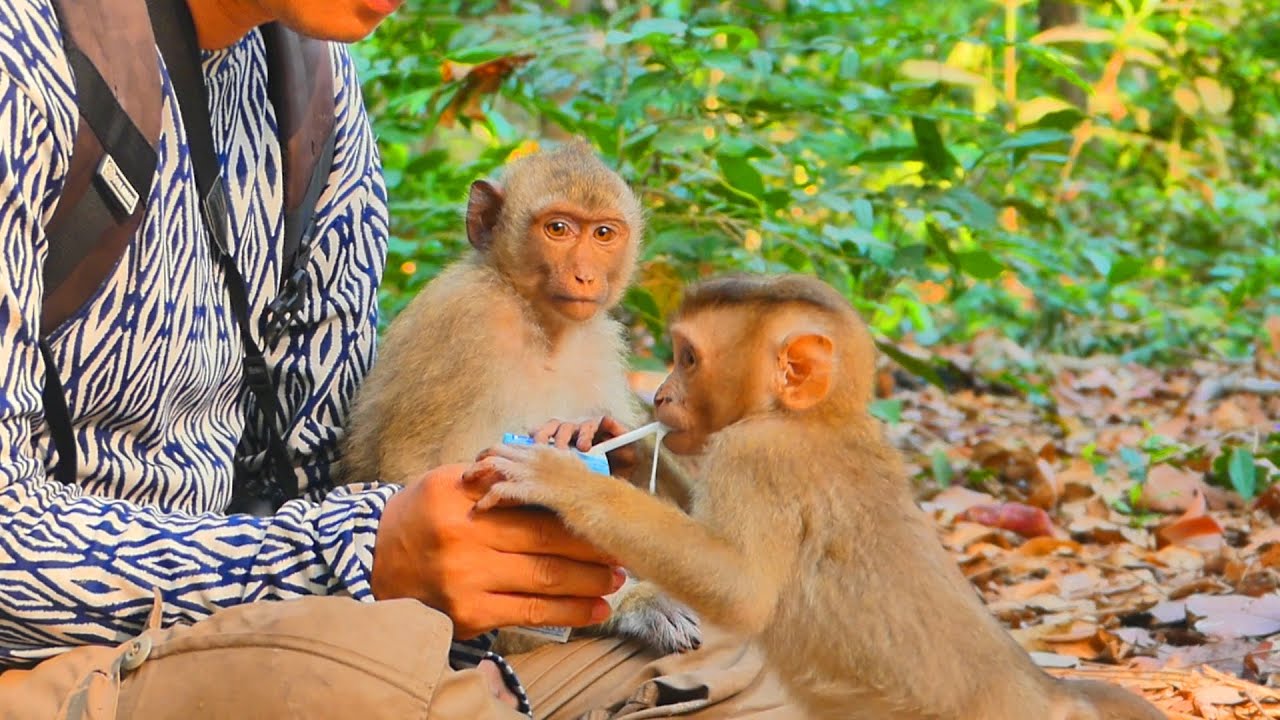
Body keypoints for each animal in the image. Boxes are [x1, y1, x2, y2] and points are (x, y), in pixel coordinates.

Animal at [339, 140, 699, 656]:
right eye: (558, 229)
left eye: (603, 233)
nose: (585, 276)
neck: (542, 325)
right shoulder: (463, 321)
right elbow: (413, 475)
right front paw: (635, 601)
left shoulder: (599, 340)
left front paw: (607, 444)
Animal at [463, 273, 1166, 720]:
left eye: (686, 358)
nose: (659, 395)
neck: (818, 418)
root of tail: (1051, 693)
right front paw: (615, 445)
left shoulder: (757, 456)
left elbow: (740, 589)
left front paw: (565, 477)